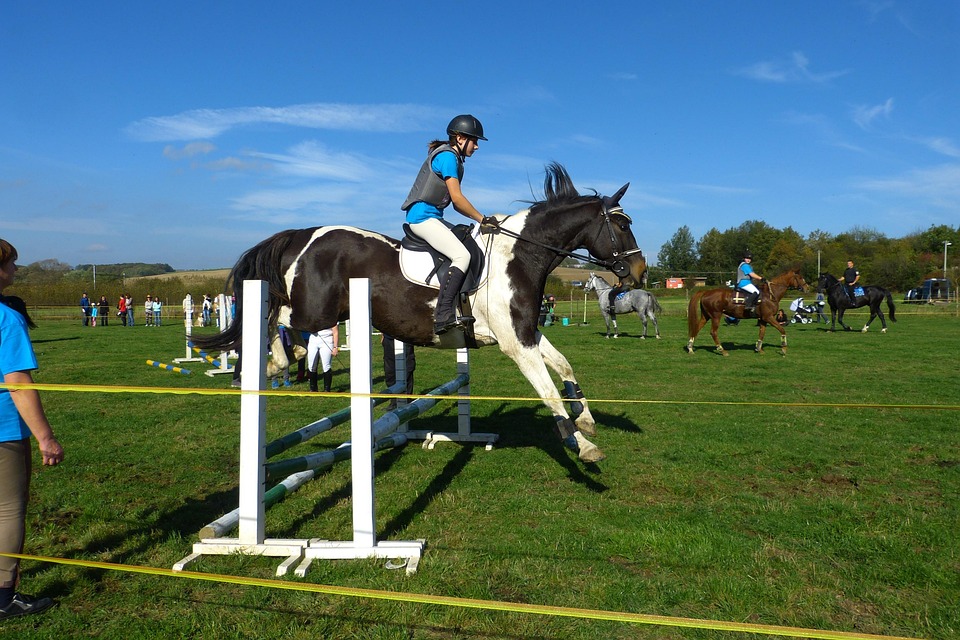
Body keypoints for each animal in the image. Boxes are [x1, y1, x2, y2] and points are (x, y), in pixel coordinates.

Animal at [193, 163, 647, 464]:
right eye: (623, 226)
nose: (641, 271)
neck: (521, 254)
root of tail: (301, 234)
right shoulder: (516, 345)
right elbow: (549, 391)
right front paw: (583, 445)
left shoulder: (528, 334)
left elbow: (566, 367)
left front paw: (586, 420)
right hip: (316, 312)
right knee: (277, 320)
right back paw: (272, 364)